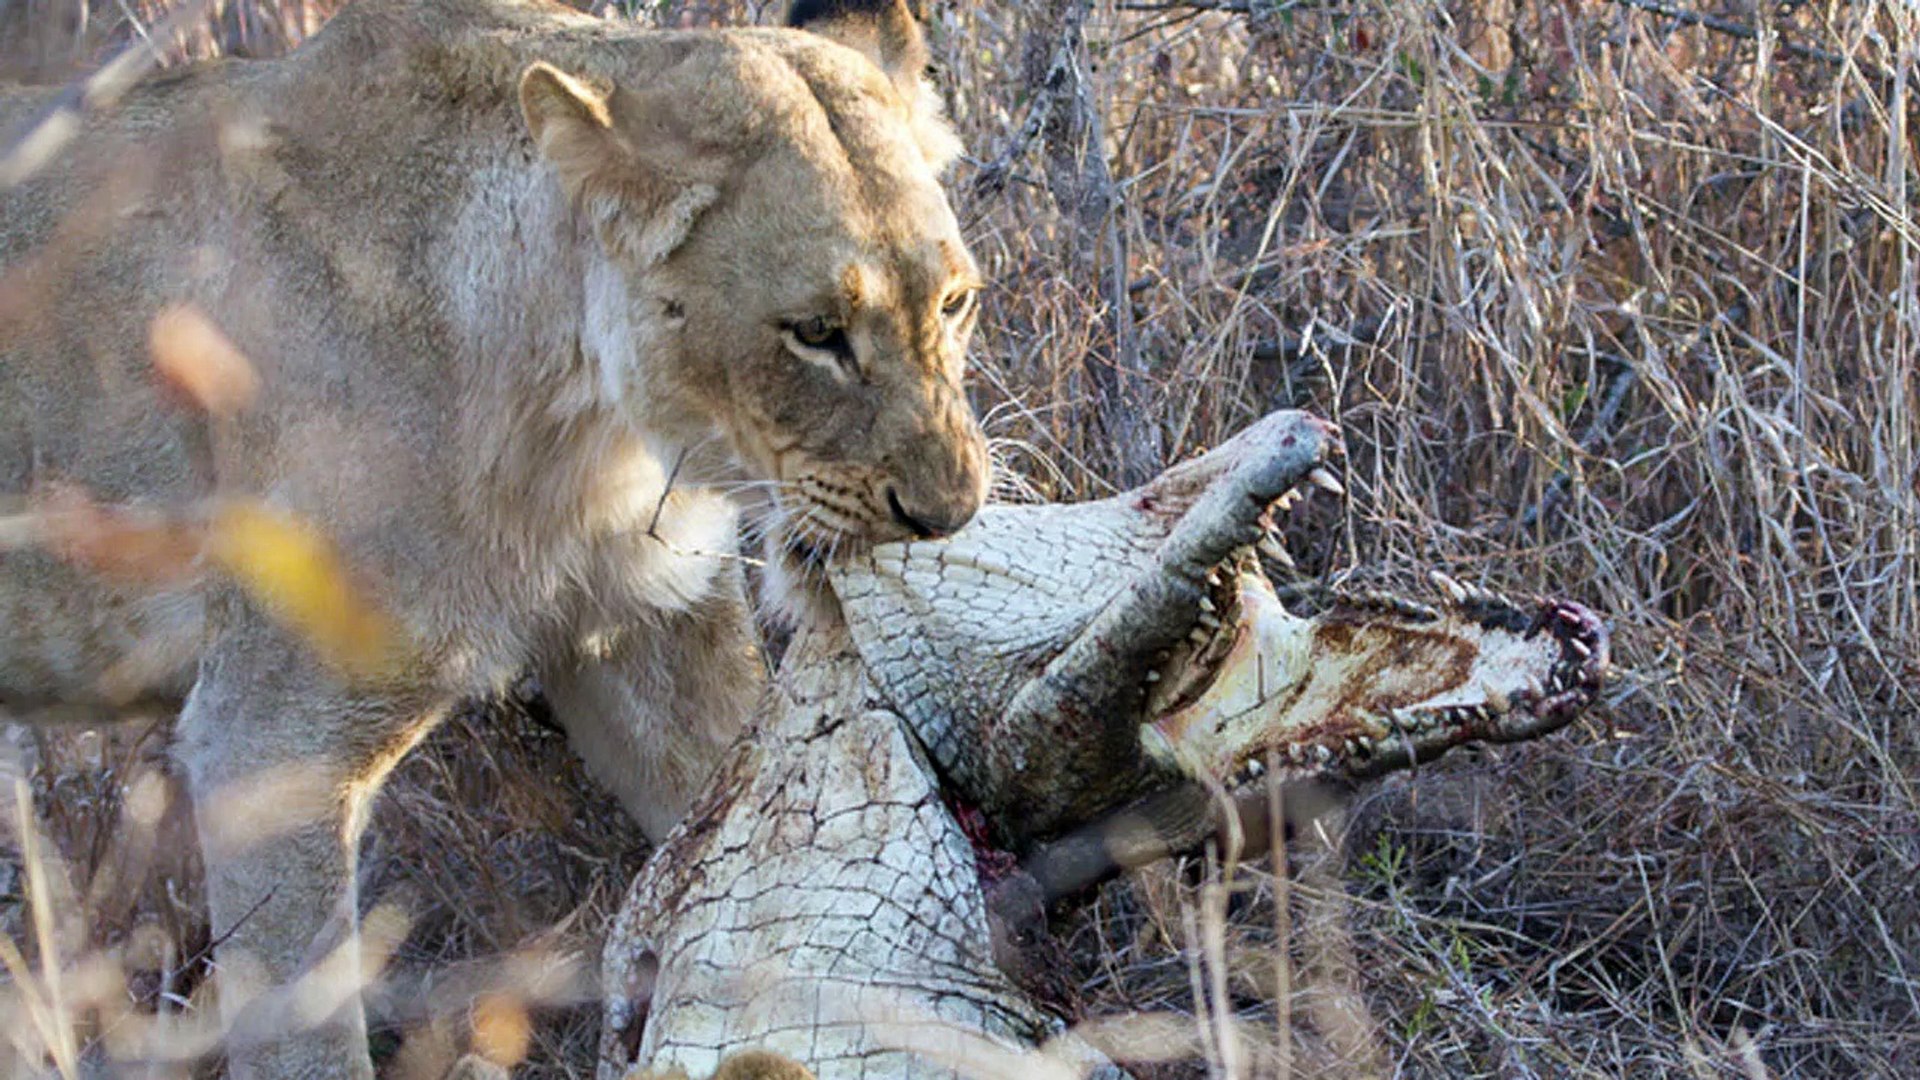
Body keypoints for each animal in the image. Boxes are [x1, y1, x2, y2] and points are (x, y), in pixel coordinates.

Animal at [0, 1, 988, 1076]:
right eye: (813, 331)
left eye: (955, 301)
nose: (949, 510)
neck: (586, 434)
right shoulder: (264, 744)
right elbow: (309, 1037)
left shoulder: (652, 635)